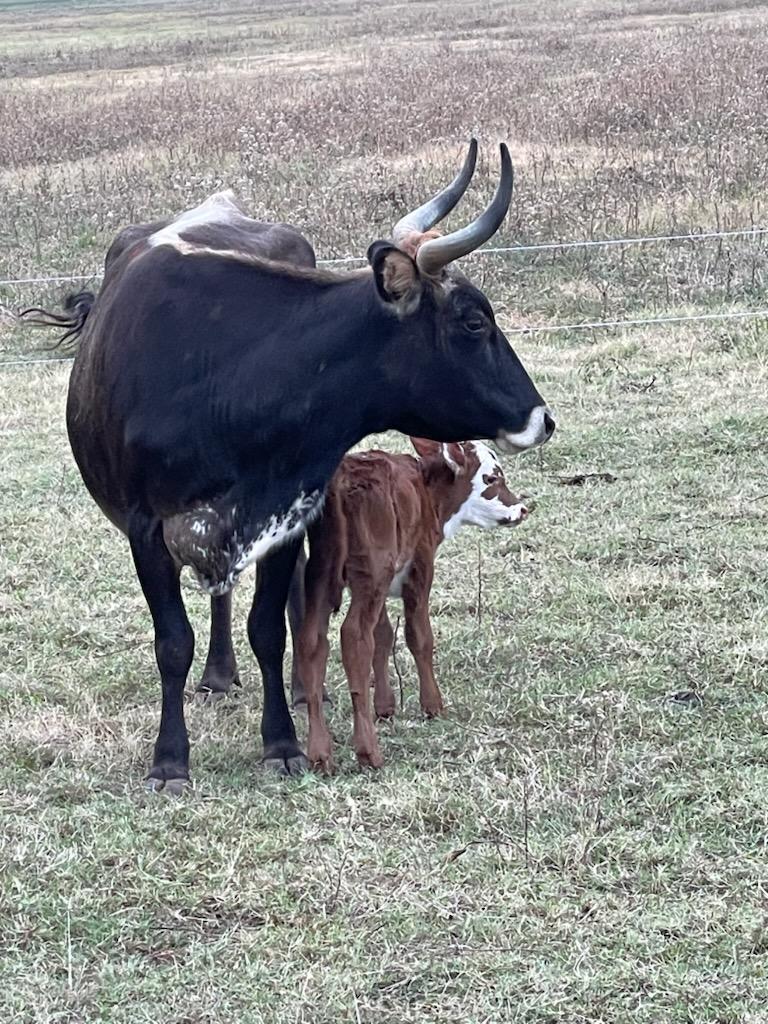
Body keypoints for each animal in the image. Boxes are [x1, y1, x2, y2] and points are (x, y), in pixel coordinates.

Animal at [296, 438, 529, 772]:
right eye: (492, 478)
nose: (522, 508)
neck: (426, 490)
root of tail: (341, 483)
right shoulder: (420, 565)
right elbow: (418, 636)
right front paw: (432, 705)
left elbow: (383, 635)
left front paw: (385, 706)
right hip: (371, 571)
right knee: (354, 637)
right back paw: (368, 752)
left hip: (321, 572)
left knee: (312, 641)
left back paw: (319, 753)